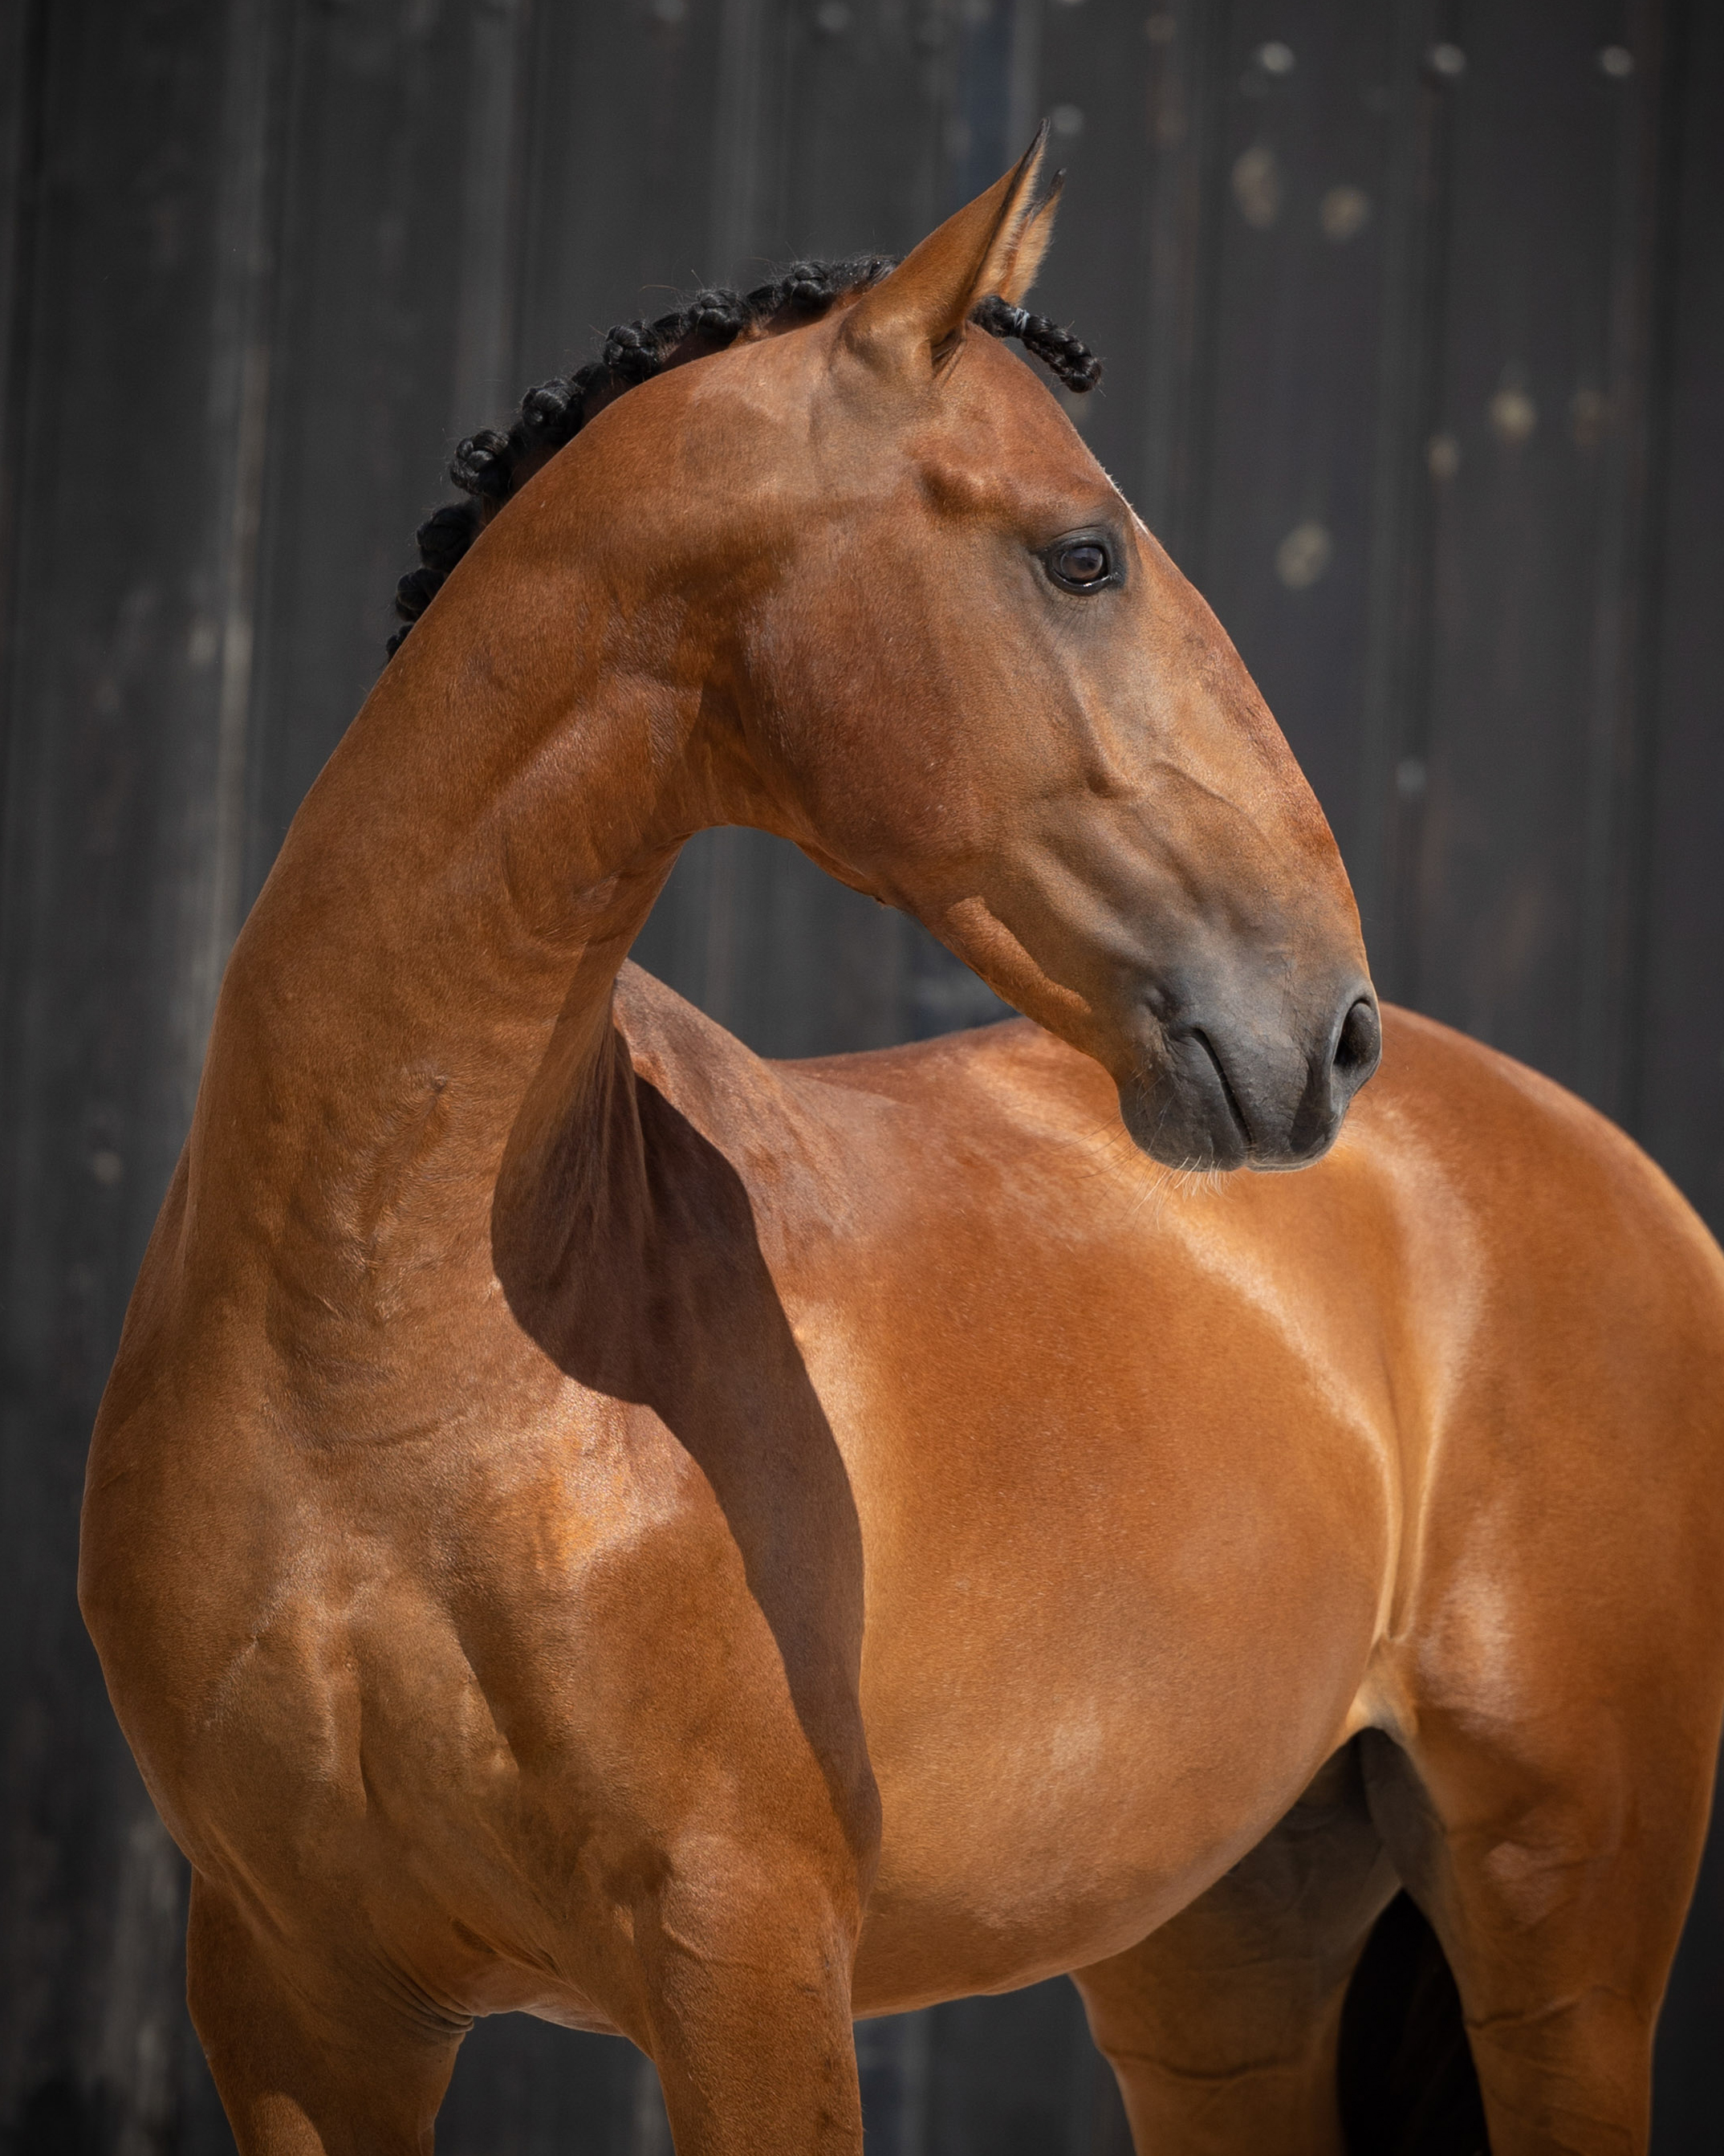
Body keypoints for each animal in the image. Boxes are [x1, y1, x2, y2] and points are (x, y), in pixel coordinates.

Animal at [80, 133, 1724, 2156]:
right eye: (1082, 551)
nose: (1329, 1025)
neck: (391, 1372)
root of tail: (1614, 1176)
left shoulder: (748, 1962)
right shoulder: (300, 2003)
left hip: (1561, 1945)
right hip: (1219, 1968)